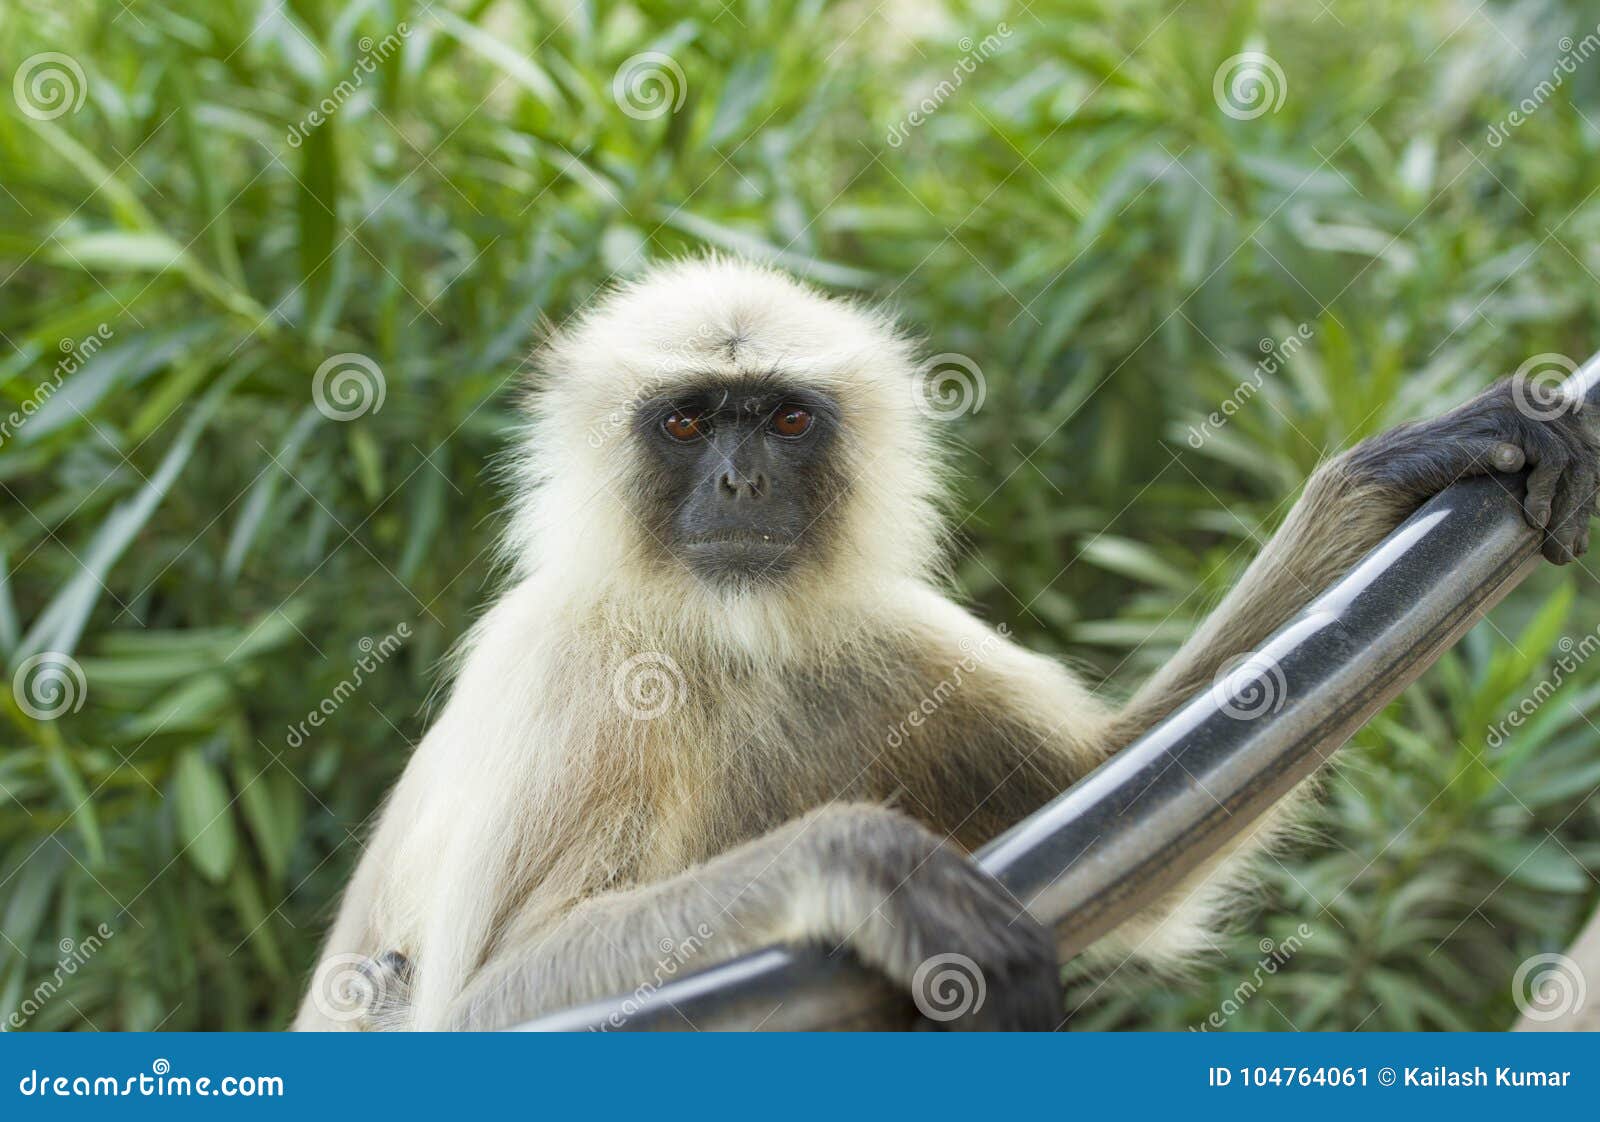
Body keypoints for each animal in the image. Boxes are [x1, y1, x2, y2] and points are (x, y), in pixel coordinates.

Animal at [292, 256, 1600, 1031]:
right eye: (686, 423)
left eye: (783, 419)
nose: (739, 481)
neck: (721, 638)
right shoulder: (576, 664)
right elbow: (479, 1005)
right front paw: (866, 863)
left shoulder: (883, 636)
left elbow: (1116, 807)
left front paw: (1392, 475)